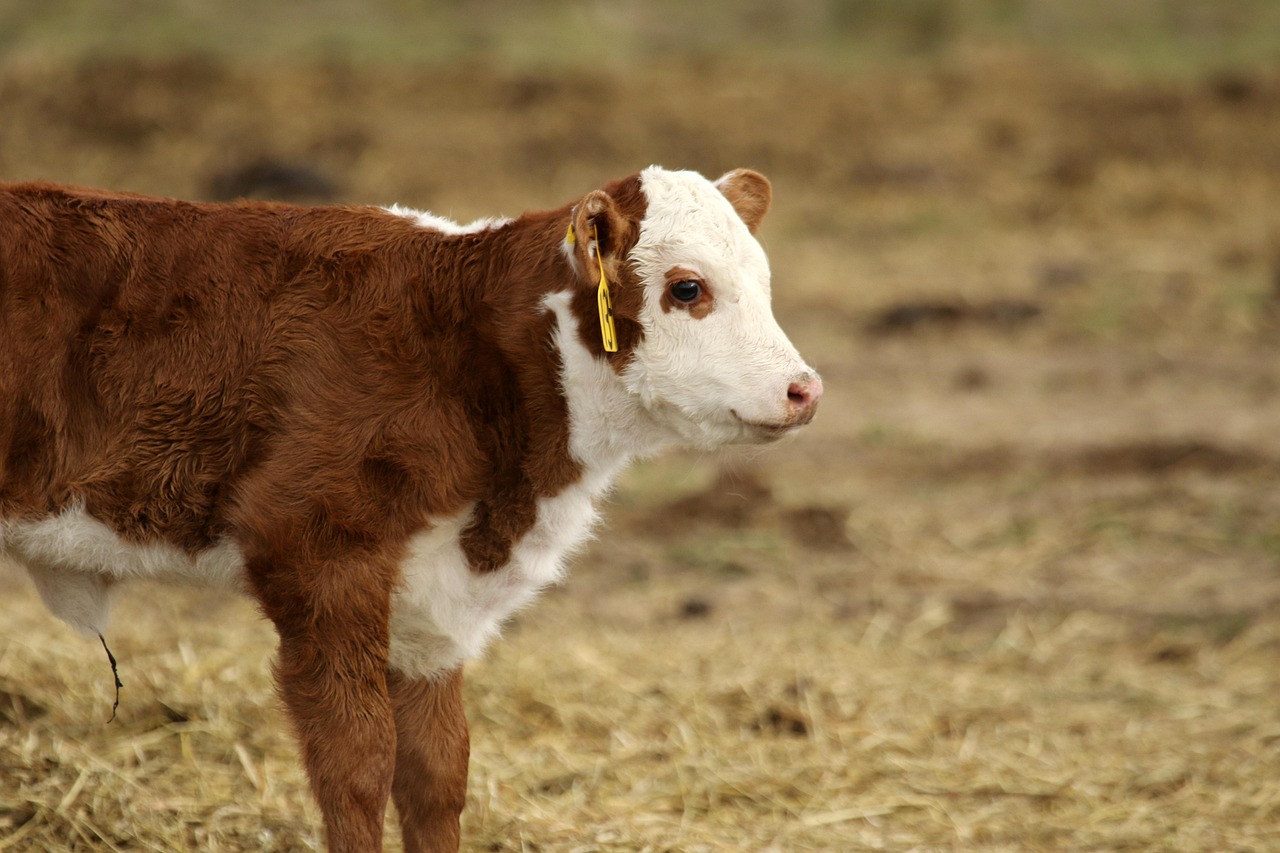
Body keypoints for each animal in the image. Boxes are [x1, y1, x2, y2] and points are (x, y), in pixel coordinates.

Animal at [0, 166, 822, 851]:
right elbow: (357, 766)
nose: (804, 389)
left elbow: (436, 772)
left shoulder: (433, 606)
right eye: (686, 288)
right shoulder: (317, 554)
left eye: (763, 281)